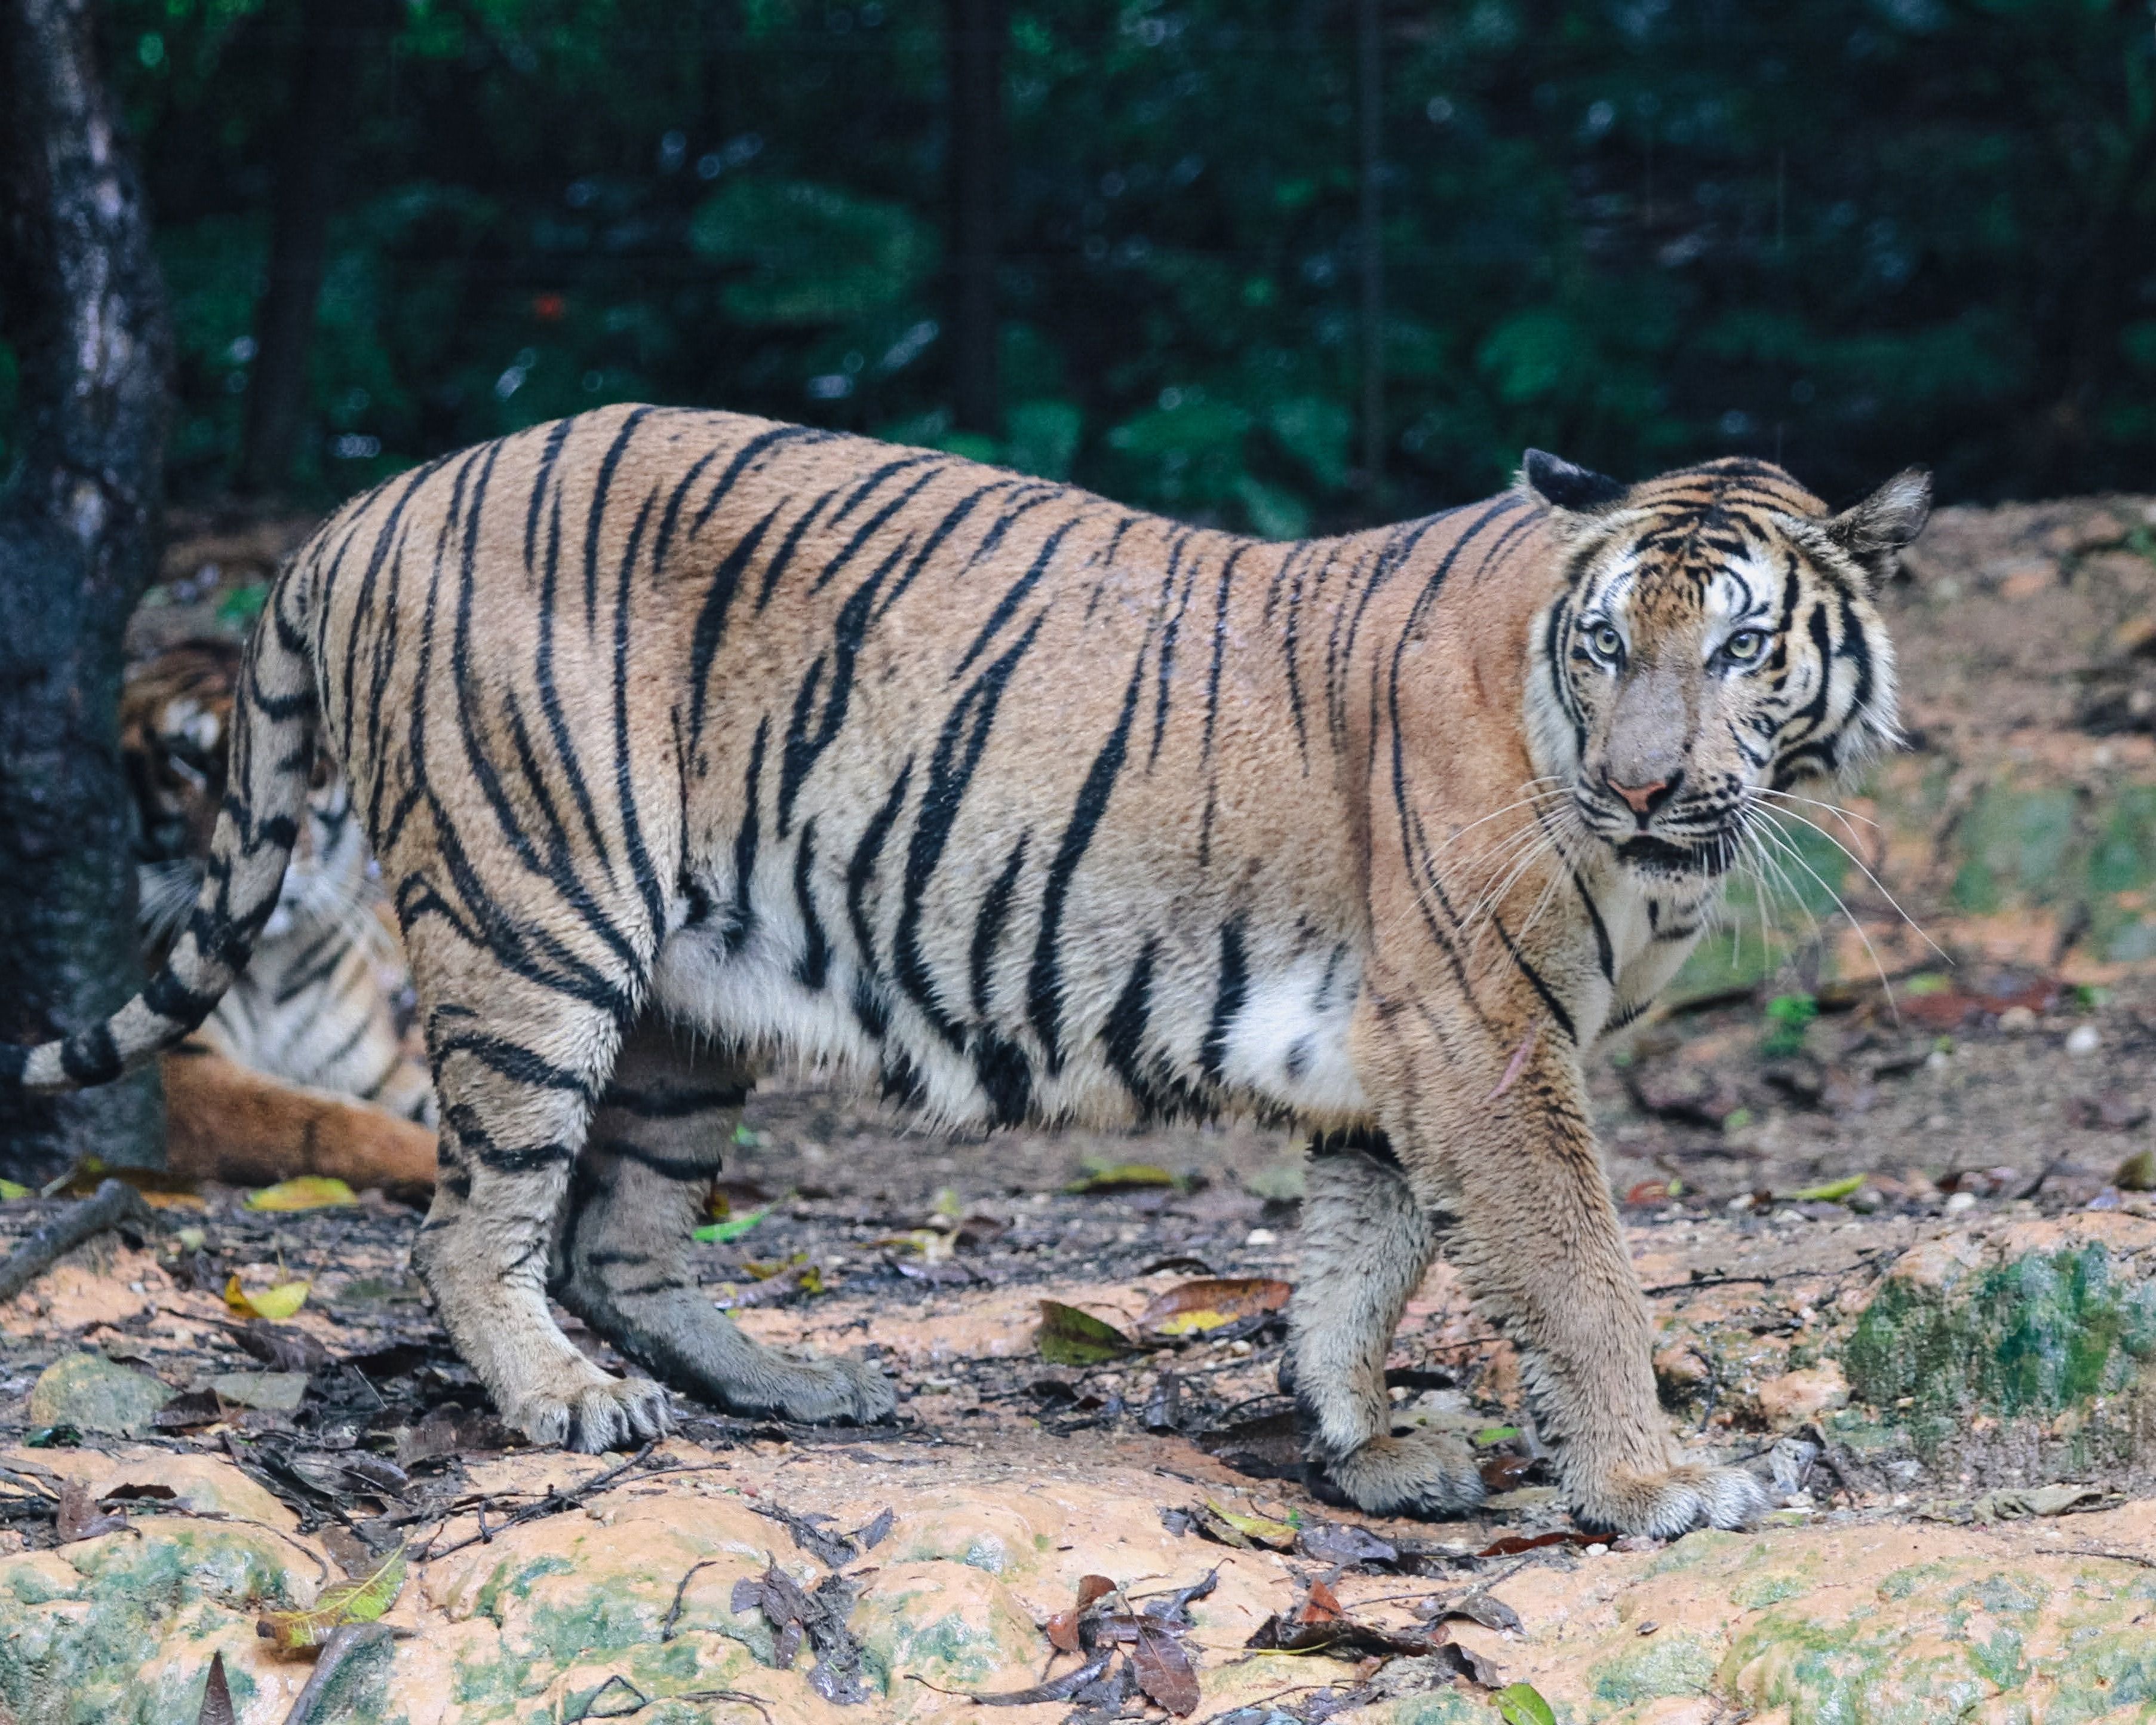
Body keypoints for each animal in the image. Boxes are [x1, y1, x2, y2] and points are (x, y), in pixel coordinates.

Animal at [123, 638, 437, 1193]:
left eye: (310, 769)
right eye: (187, 760)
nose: (261, 860)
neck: (273, 963)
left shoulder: (377, 1069)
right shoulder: (187, 1078)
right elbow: (338, 1127)